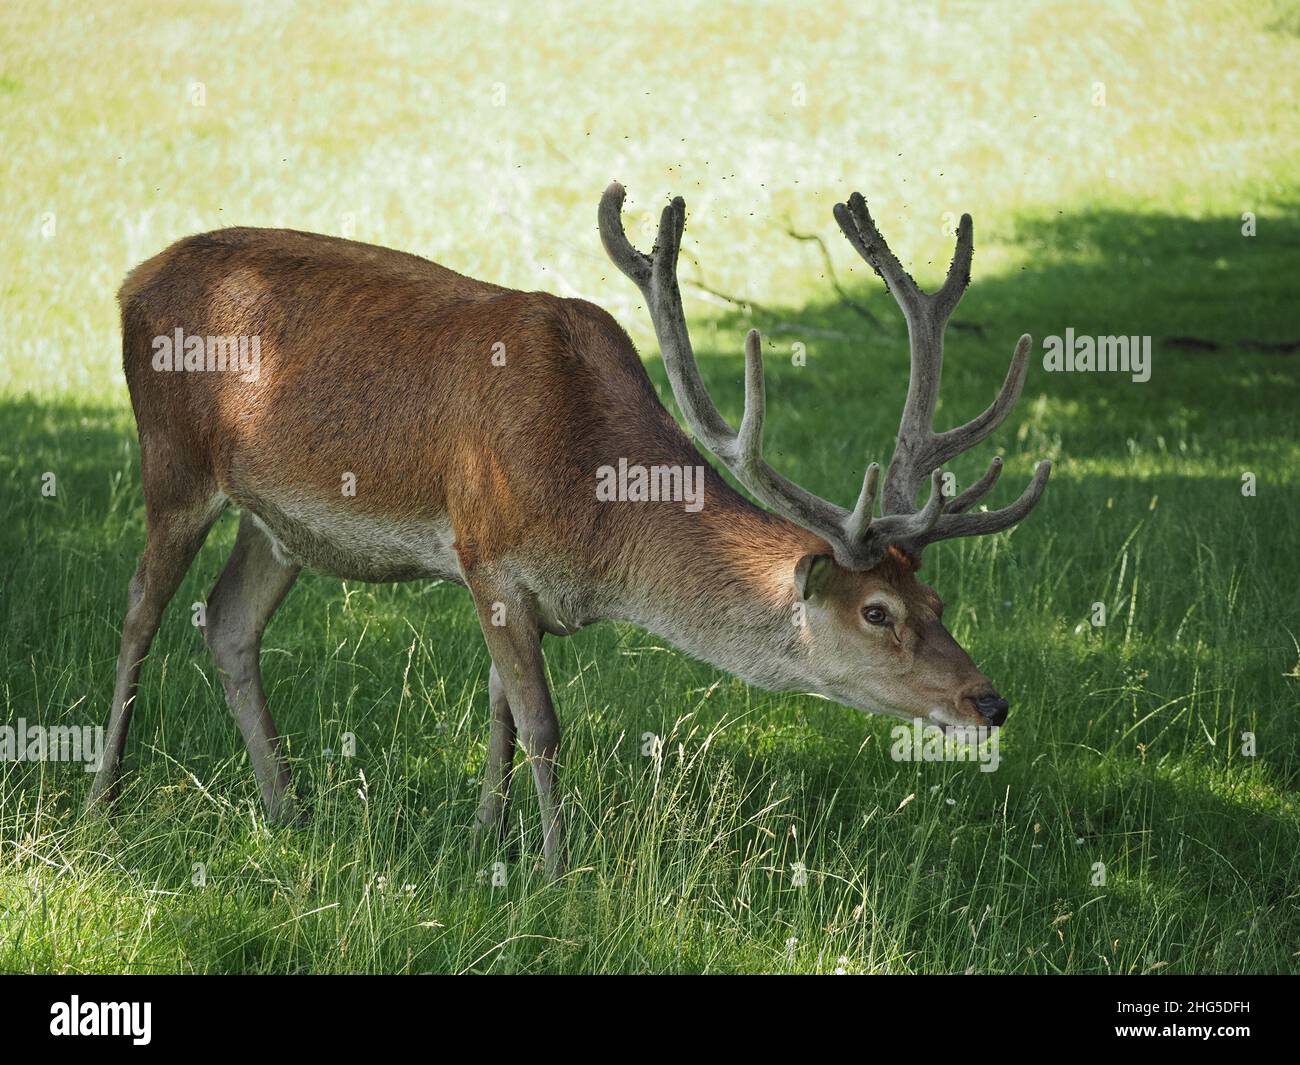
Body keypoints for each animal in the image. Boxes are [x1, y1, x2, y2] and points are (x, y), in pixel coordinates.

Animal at [87, 181, 1050, 880]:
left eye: (939, 599)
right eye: (877, 611)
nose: (991, 702)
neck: (597, 522)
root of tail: (128, 281)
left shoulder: (509, 584)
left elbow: (501, 710)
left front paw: (485, 837)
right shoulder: (488, 548)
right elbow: (544, 722)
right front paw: (554, 867)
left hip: (277, 520)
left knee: (228, 619)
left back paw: (287, 808)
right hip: (172, 457)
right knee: (137, 607)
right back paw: (105, 797)